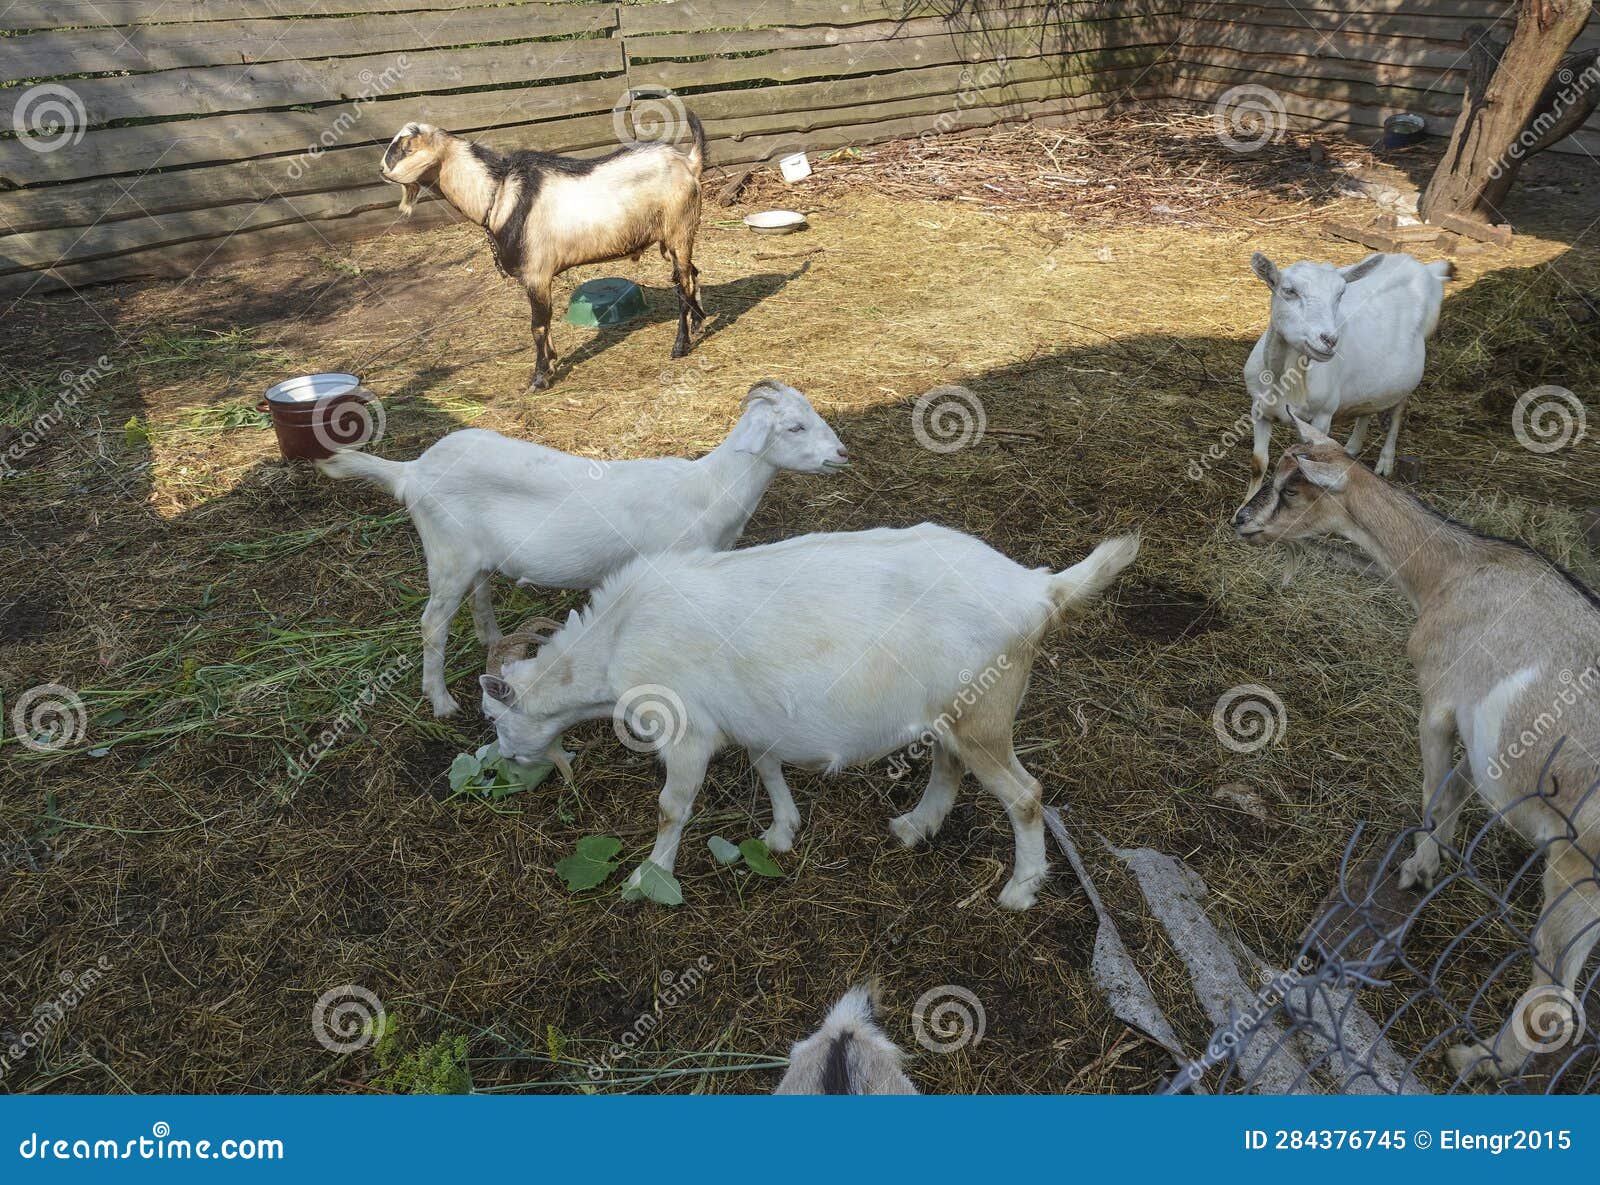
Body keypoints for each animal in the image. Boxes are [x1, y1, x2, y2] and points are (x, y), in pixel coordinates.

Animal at [317, 380, 847, 717]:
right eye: (795, 427)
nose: (841, 454)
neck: (710, 488)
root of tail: (412, 472)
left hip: (474, 558)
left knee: (479, 595)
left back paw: (491, 639)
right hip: (447, 555)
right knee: (432, 623)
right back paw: (441, 701)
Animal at [380, 117, 706, 389]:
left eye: (404, 147)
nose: (382, 171)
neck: (499, 195)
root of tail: (688, 162)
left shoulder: (536, 274)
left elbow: (537, 326)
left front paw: (539, 378)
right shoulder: (537, 278)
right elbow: (546, 324)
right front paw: (550, 364)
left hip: (678, 232)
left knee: (682, 286)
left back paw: (680, 345)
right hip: (672, 240)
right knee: (691, 274)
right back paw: (698, 323)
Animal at [479, 525, 1140, 910]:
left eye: (494, 717)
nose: (507, 764)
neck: (619, 634)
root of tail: (1037, 590)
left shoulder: (686, 730)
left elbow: (672, 807)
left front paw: (648, 878)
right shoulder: (752, 716)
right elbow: (766, 765)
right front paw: (781, 832)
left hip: (984, 710)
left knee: (1025, 795)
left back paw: (1019, 890)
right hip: (950, 711)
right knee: (948, 765)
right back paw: (914, 826)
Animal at [1234, 419, 1600, 1080]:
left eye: (1294, 488)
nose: (1240, 521)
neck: (1452, 572)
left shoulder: (1438, 700)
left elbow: (1435, 790)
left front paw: (1418, 869)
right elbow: (1456, 790)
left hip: (1576, 874)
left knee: (1553, 991)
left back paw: (1479, 1059)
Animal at [1240, 251, 1451, 504]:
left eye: (1341, 294)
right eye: (1289, 290)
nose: (1329, 339)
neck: (1285, 377)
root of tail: (1424, 267)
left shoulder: (1322, 415)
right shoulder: (1259, 408)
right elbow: (1258, 463)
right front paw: (1245, 504)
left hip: (1409, 374)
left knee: (1399, 410)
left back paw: (1385, 462)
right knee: (1368, 406)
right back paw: (1352, 447)